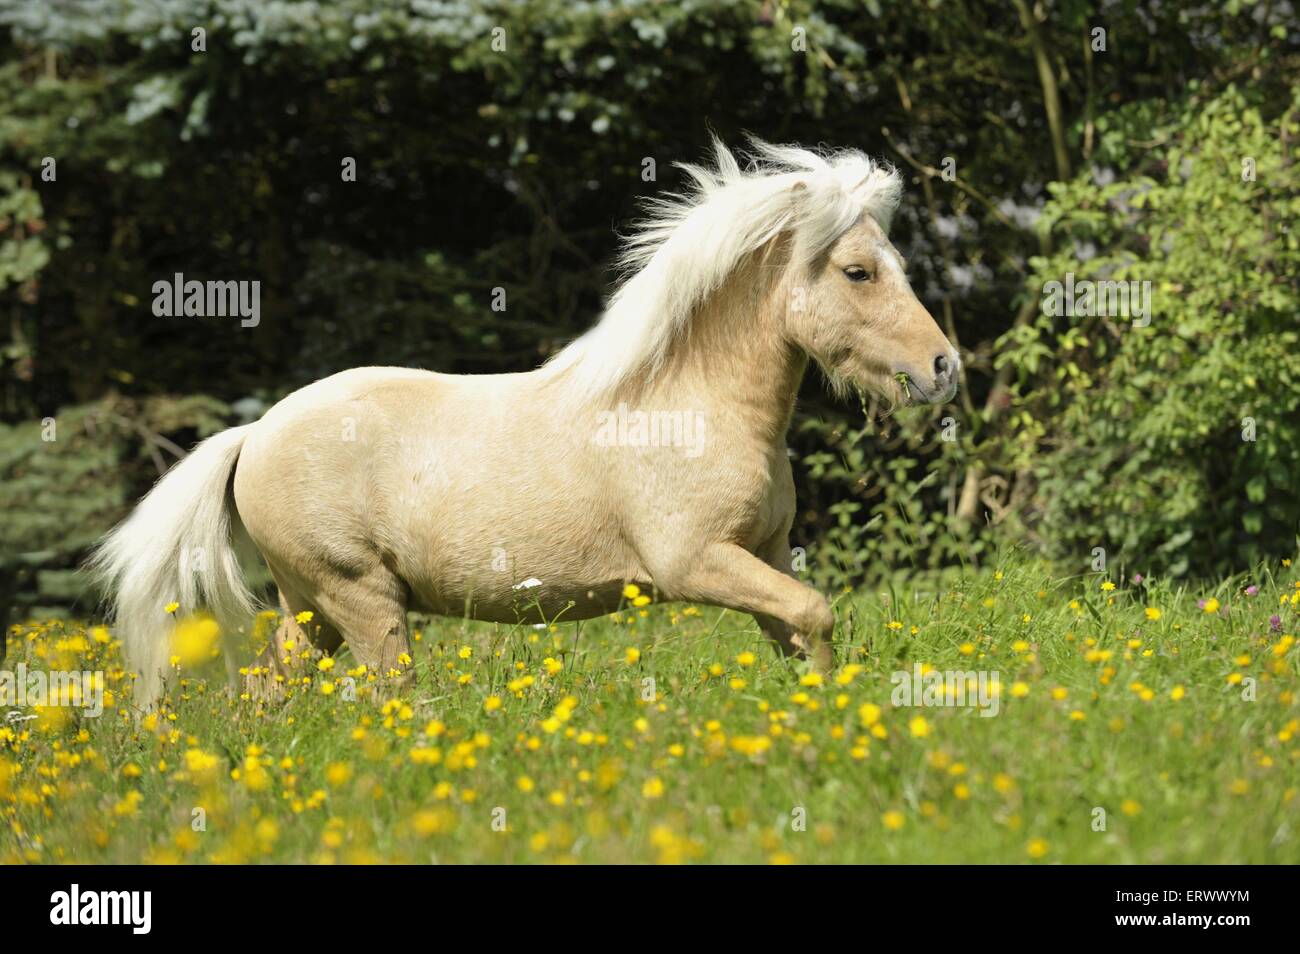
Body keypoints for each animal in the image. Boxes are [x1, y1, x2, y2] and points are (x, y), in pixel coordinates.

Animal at [91, 137, 961, 707]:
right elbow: (815, 612)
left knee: (269, 695)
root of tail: (253, 436)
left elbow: (801, 631)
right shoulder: (695, 563)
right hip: (360, 597)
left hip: (312, 610)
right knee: (389, 698)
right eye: (858, 272)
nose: (944, 368)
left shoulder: (767, 553)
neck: (688, 404)